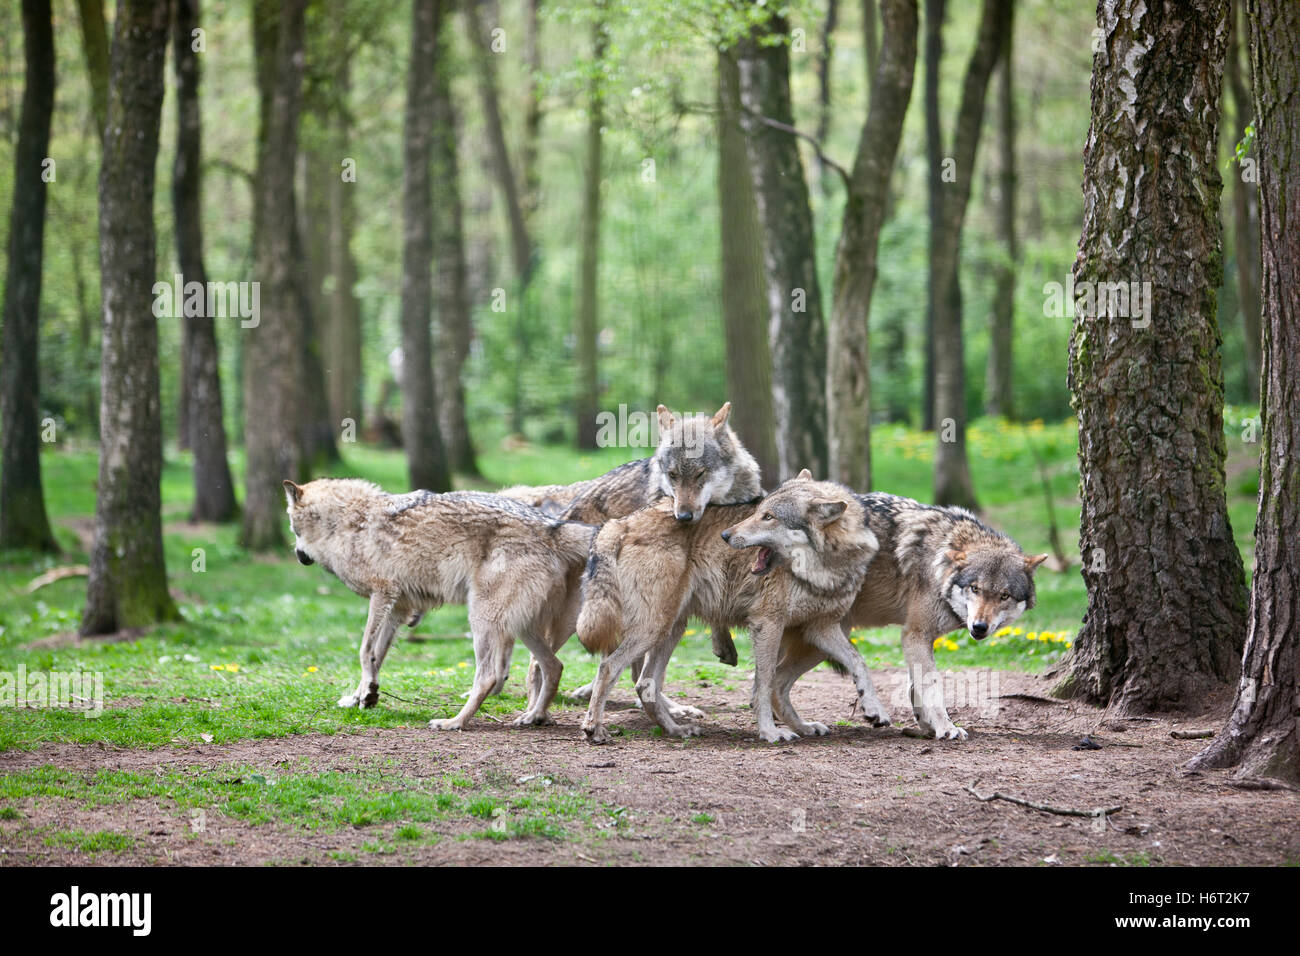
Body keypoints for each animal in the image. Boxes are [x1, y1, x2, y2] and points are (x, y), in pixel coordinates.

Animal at [283, 479, 594, 729]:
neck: (345, 522)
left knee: (490, 676)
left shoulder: (382, 594)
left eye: (292, 529)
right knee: (553, 666)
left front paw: (366, 694)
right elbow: (376, 656)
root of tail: (554, 527)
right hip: (522, 627)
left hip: (482, 620)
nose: (298, 556)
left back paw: (454, 722)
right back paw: (534, 716)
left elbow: (364, 650)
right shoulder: (398, 609)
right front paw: (363, 696)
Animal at [576, 471, 882, 743]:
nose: (725, 535)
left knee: (645, 684)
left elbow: (859, 662)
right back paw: (595, 729)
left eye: (769, 517)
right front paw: (770, 732)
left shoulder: (821, 629)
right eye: (758, 512)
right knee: (609, 667)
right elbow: (765, 685)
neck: (824, 567)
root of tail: (620, 523)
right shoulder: (767, 624)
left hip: (672, 629)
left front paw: (871, 710)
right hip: (654, 629)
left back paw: (676, 730)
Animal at [776, 493, 1049, 740]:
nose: (980, 627)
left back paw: (802, 728)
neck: (939, 563)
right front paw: (946, 728)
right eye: (975, 588)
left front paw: (927, 725)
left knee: (774, 682)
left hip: (815, 647)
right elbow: (933, 687)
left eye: (1004, 596)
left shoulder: (917, 637)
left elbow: (915, 685)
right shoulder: (915, 634)